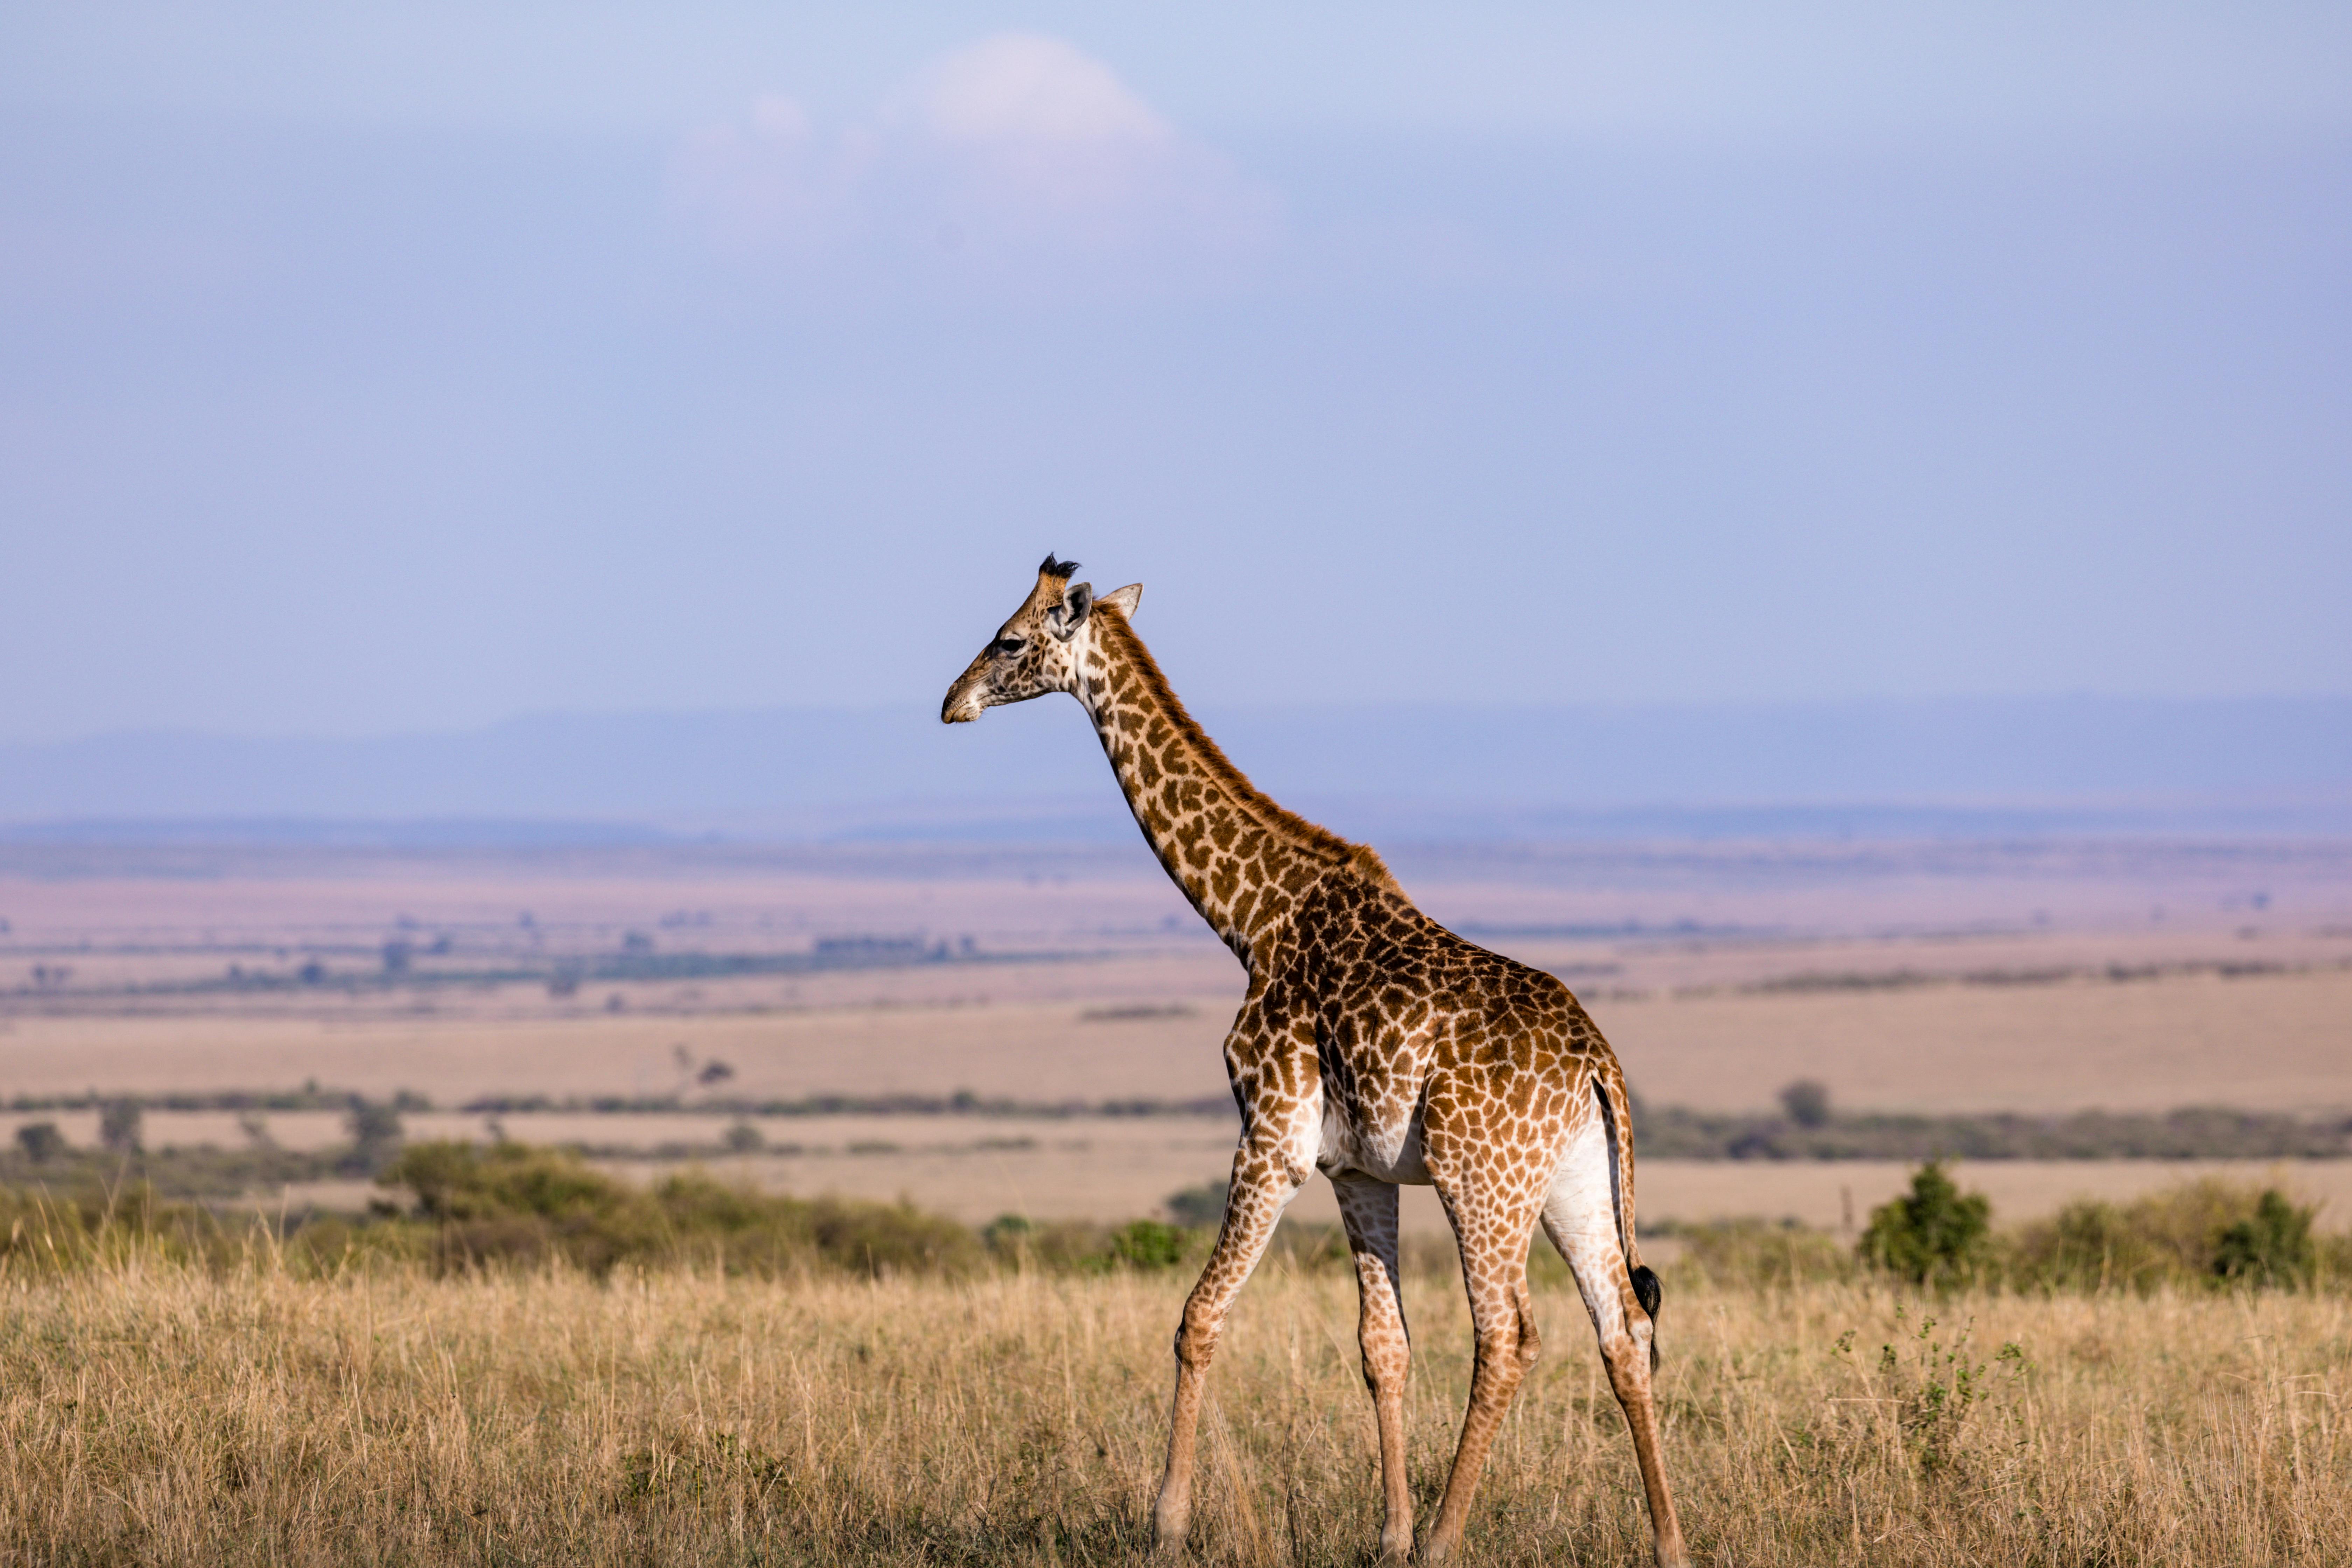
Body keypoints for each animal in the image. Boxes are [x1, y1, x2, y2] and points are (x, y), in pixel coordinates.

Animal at [942, 556, 1689, 1567]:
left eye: (1011, 640)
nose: (952, 702)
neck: (1253, 918)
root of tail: (1597, 1065)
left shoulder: (1271, 1138)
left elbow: (1197, 1319)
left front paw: (1168, 1522)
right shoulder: (1354, 1170)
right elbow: (1384, 1346)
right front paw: (1388, 1532)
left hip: (1482, 1181)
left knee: (1509, 1336)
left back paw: (1449, 1540)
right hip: (1570, 1180)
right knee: (1623, 1327)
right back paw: (1668, 1543)